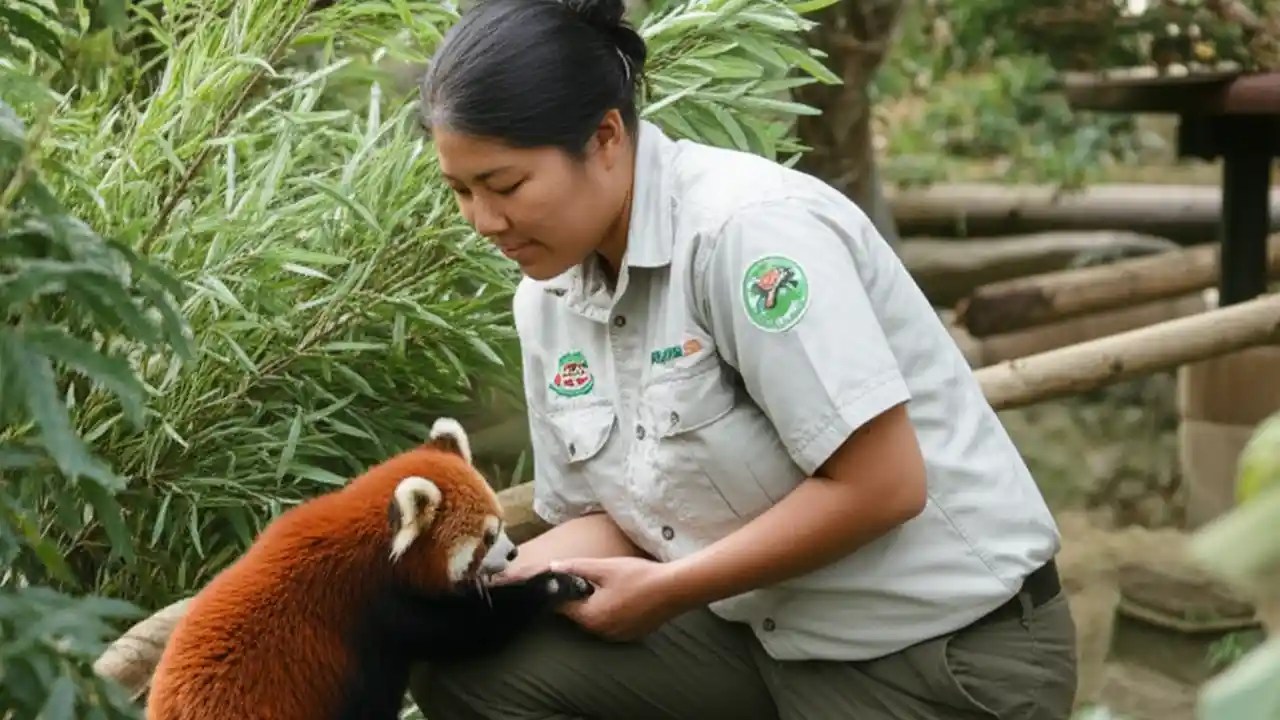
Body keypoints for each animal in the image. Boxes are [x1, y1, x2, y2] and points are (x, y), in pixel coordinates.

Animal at [145, 417, 594, 720]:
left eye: (501, 521)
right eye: (487, 537)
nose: (514, 553)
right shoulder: (371, 612)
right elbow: (468, 629)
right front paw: (556, 584)